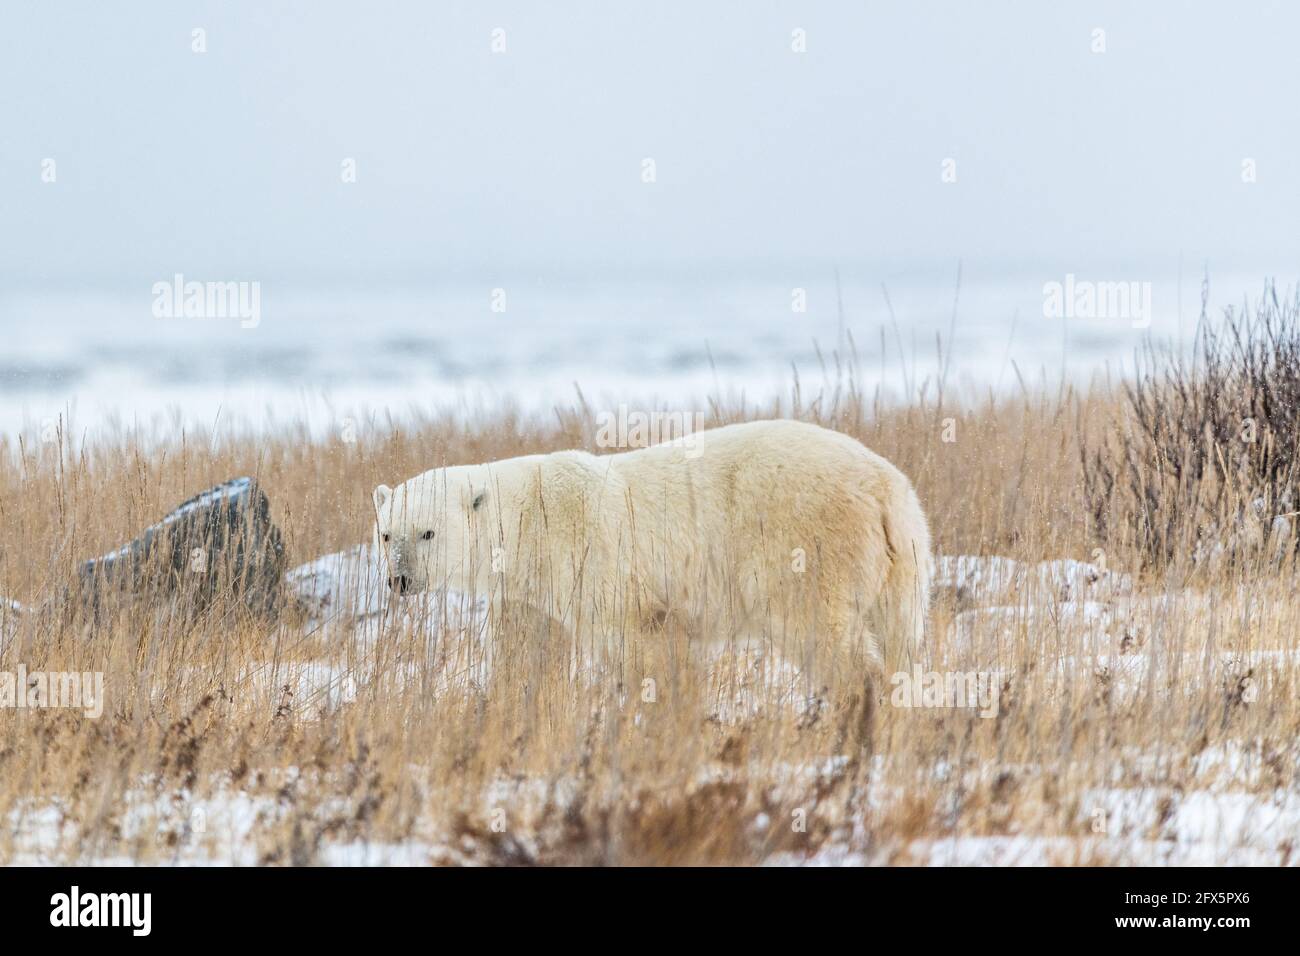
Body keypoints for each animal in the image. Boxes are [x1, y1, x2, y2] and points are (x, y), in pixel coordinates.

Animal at [372, 419, 932, 735]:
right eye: (386, 533)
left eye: (427, 532)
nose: (400, 581)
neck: (533, 516)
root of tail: (882, 487)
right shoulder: (528, 591)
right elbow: (525, 654)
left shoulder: (597, 564)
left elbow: (648, 653)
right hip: (905, 556)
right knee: (901, 638)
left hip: (805, 542)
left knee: (818, 632)